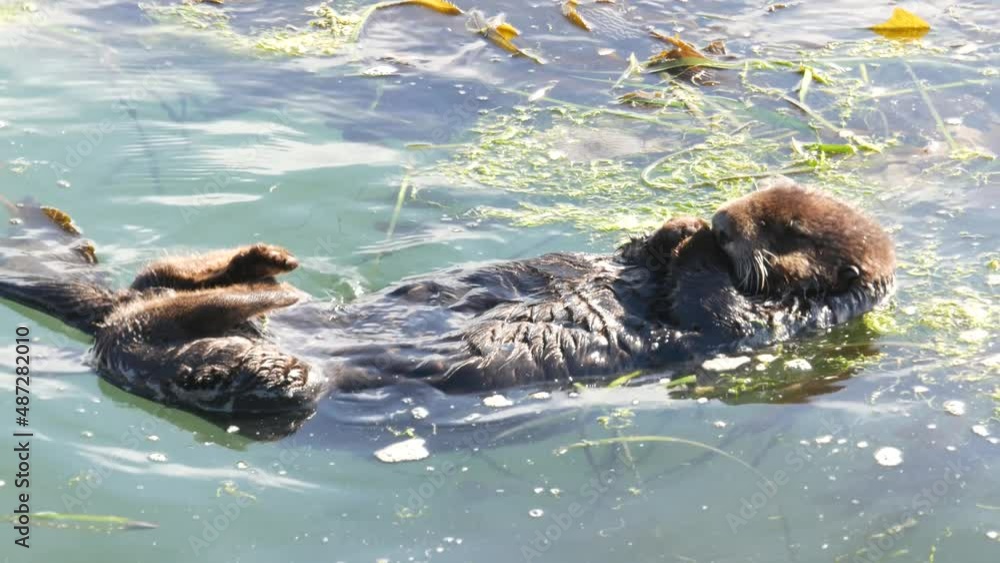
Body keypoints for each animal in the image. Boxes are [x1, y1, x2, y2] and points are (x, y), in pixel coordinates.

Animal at [0, 183, 895, 417]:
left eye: (784, 227)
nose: (719, 219)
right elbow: (637, 257)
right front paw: (669, 228)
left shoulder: (768, 325)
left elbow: (717, 307)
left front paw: (694, 246)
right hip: (179, 310)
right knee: (155, 282)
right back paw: (261, 265)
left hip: (265, 376)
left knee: (183, 340)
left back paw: (254, 286)